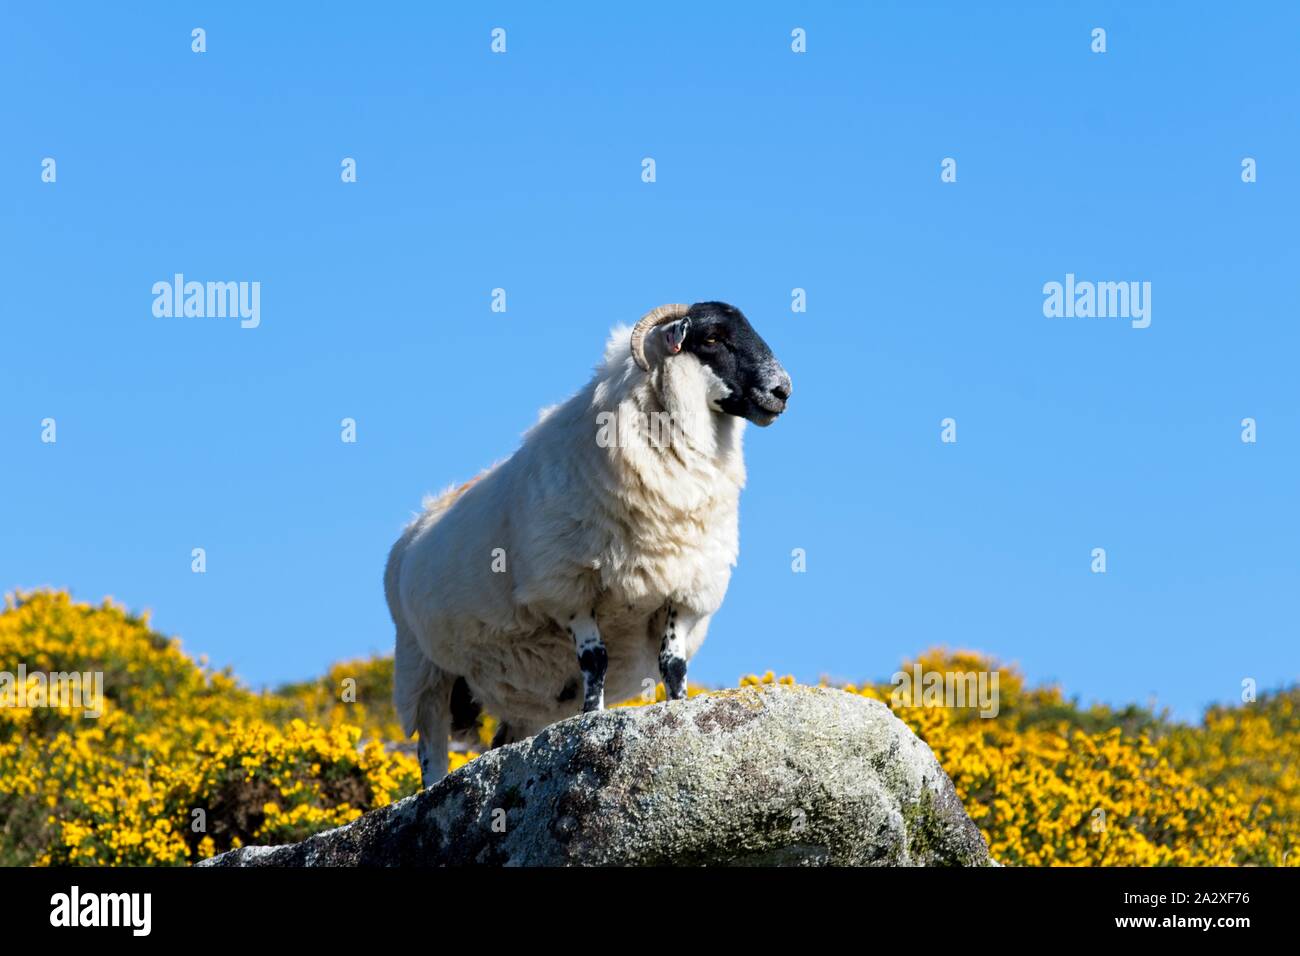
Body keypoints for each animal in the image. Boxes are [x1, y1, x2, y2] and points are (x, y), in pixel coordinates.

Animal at [385, 301, 793, 787]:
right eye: (711, 337)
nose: (783, 391)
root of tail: (414, 526)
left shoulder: (684, 587)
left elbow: (672, 663)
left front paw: (678, 711)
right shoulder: (571, 588)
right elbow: (594, 661)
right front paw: (591, 721)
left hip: (525, 688)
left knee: (504, 738)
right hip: (423, 671)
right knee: (431, 747)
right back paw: (434, 787)